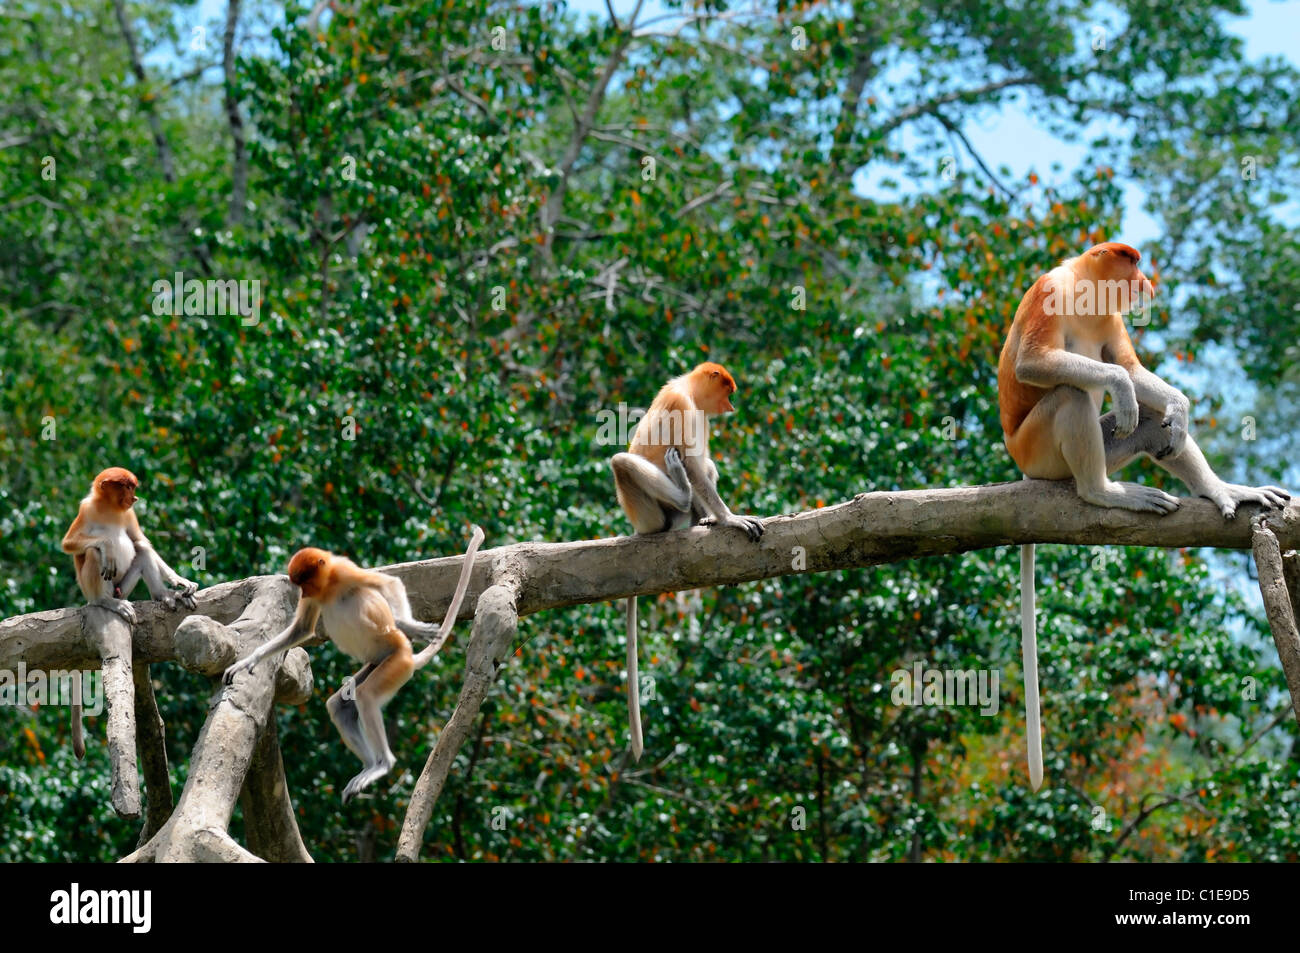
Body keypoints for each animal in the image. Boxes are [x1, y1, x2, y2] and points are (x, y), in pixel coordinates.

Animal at [60, 467, 198, 758]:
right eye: (127, 487)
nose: (134, 498)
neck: (109, 508)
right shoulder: (86, 509)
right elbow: (71, 543)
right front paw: (108, 547)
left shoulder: (129, 515)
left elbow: (140, 541)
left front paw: (180, 581)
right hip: (96, 588)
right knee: (93, 553)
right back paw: (107, 601)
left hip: (123, 586)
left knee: (143, 551)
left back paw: (165, 596)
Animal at [223, 526, 484, 803]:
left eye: (305, 582)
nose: (303, 594)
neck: (328, 586)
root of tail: (407, 656)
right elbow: (301, 629)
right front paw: (248, 660)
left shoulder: (345, 570)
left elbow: (388, 583)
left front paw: (409, 625)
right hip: (375, 663)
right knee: (340, 705)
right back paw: (367, 767)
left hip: (395, 663)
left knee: (367, 695)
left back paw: (382, 765)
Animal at [610, 362, 765, 761]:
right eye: (728, 391)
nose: (731, 407)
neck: (688, 390)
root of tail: (636, 526)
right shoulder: (683, 407)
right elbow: (693, 464)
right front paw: (731, 519)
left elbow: (703, 464)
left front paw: (716, 519)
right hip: (647, 514)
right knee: (625, 462)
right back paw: (682, 497)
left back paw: (701, 520)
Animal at [998, 241, 1290, 789]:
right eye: (1130, 262)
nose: (1146, 285)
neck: (1083, 291)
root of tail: (1024, 467)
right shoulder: (1050, 291)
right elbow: (1037, 363)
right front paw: (1117, 386)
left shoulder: (1111, 320)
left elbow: (1134, 373)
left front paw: (1178, 403)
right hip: (1039, 449)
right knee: (1071, 395)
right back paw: (1105, 492)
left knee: (1154, 427)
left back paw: (1221, 489)